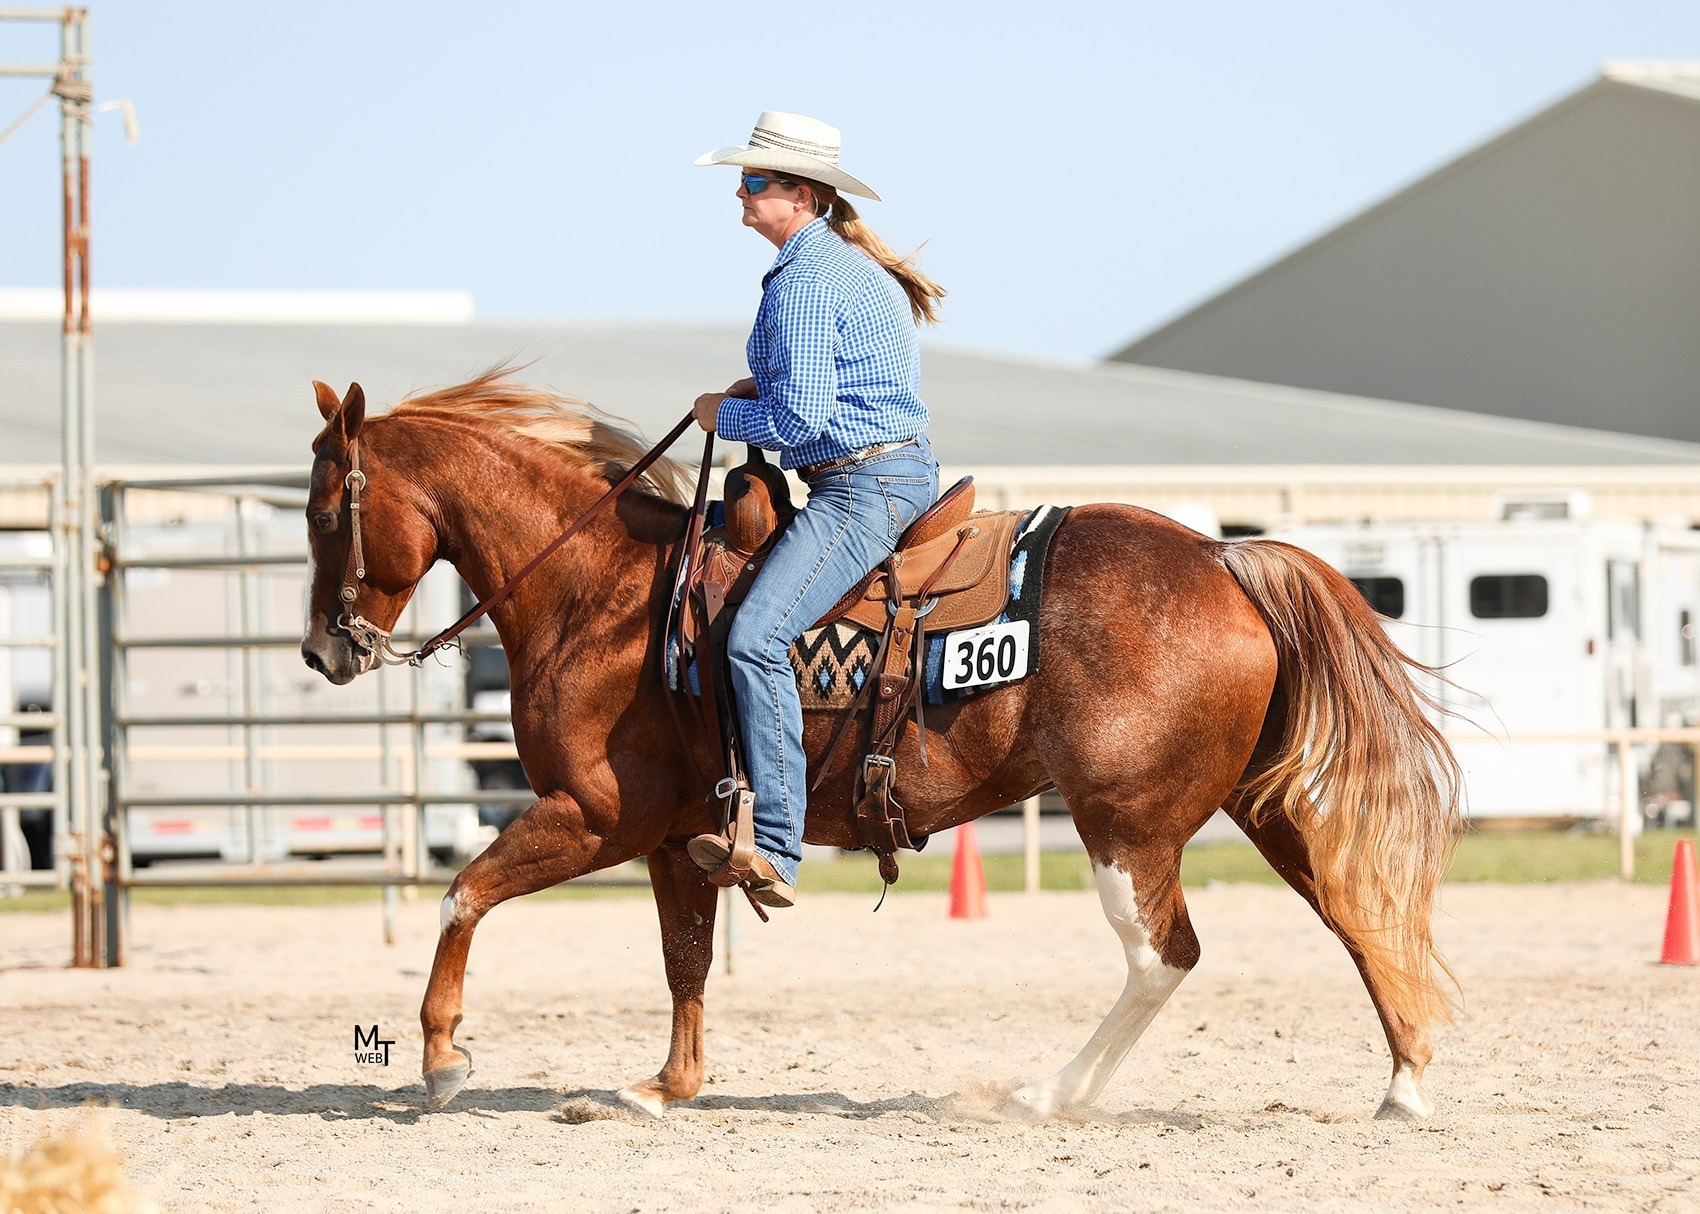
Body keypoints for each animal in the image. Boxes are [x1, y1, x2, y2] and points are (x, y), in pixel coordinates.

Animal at [299, 370, 1461, 1122]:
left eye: (320, 510)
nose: (322, 648)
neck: (604, 596)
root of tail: (1224, 559)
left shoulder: (594, 817)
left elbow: (462, 895)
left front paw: (441, 1059)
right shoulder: (674, 838)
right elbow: (685, 959)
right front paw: (663, 1087)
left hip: (1123, 824)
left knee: (1160, 956)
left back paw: (1046, 1094)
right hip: (1255, 806)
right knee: (1353, 911)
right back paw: (1405, 1084)